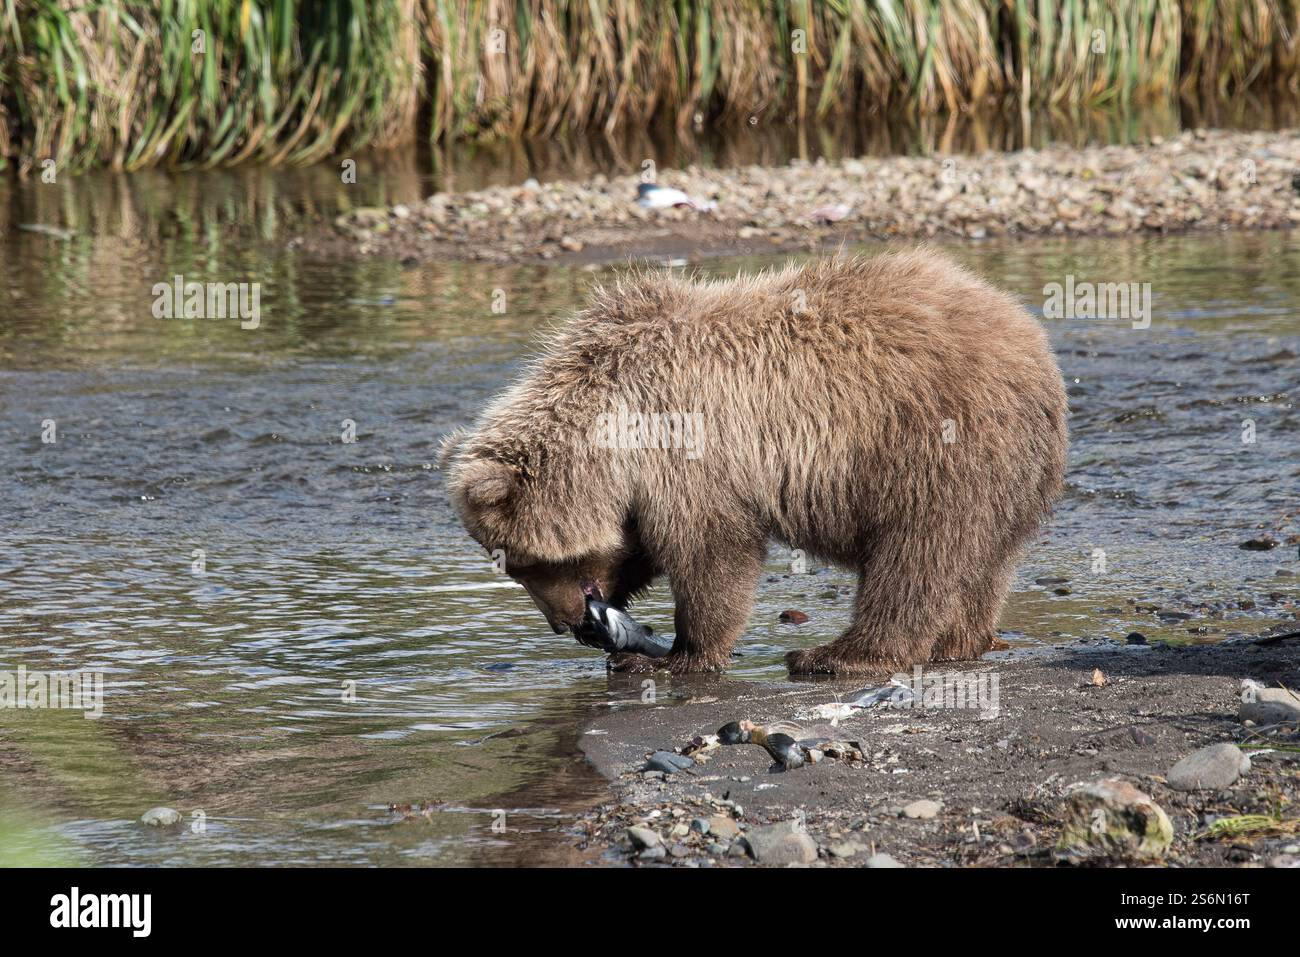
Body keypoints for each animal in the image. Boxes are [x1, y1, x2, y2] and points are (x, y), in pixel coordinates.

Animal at [442, 249, 1068, 676]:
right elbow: (644, 541)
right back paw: (958, 641)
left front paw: (680, 653)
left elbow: (713, 552)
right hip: (1006, 472)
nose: (570, 625)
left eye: (524, 564)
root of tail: (1034, 345)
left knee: (917, 554)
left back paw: (836, 653)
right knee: (980, 561)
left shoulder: (686, 444)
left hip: (933, 445)